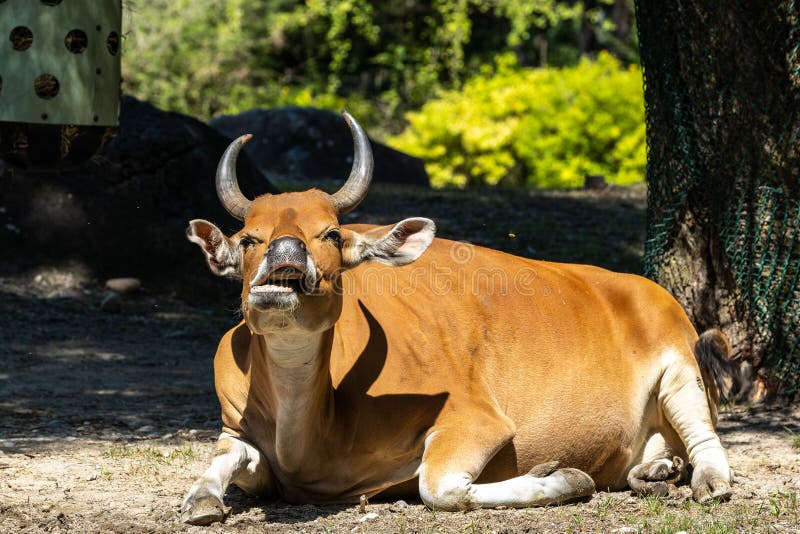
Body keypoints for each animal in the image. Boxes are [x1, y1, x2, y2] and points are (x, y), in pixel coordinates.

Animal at [180, 112, 733, 525]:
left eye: (331, 233)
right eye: (248, 239)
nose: (286, 257)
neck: (317, 424)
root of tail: (647, 288)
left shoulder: (477, 421)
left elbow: (439, 487)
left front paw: (562, 476)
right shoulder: (236, 426)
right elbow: (225, 458)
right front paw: (201, 498)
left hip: (684, 367)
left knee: (707, 440)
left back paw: (708, 481)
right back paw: (657, 472)